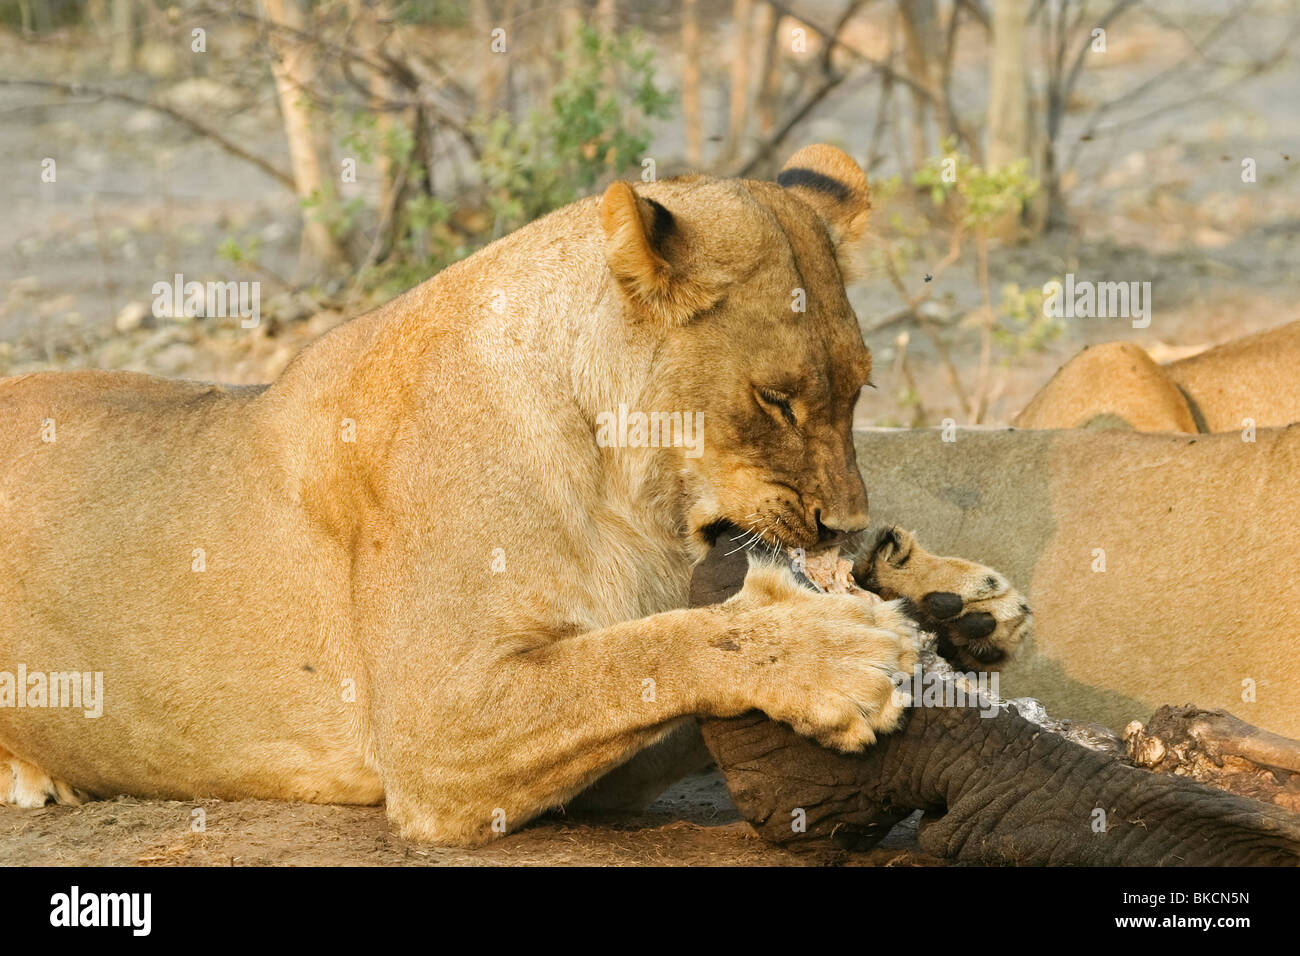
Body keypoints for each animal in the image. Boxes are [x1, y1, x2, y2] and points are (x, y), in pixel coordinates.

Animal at [0, 145, 1028, 843]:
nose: (842, 525)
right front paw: (833, 647)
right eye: (775, 398)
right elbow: (643, 652)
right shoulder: (433, 733)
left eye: (859, 392)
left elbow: (650, 659)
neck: (629, 494)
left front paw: (953, 599)